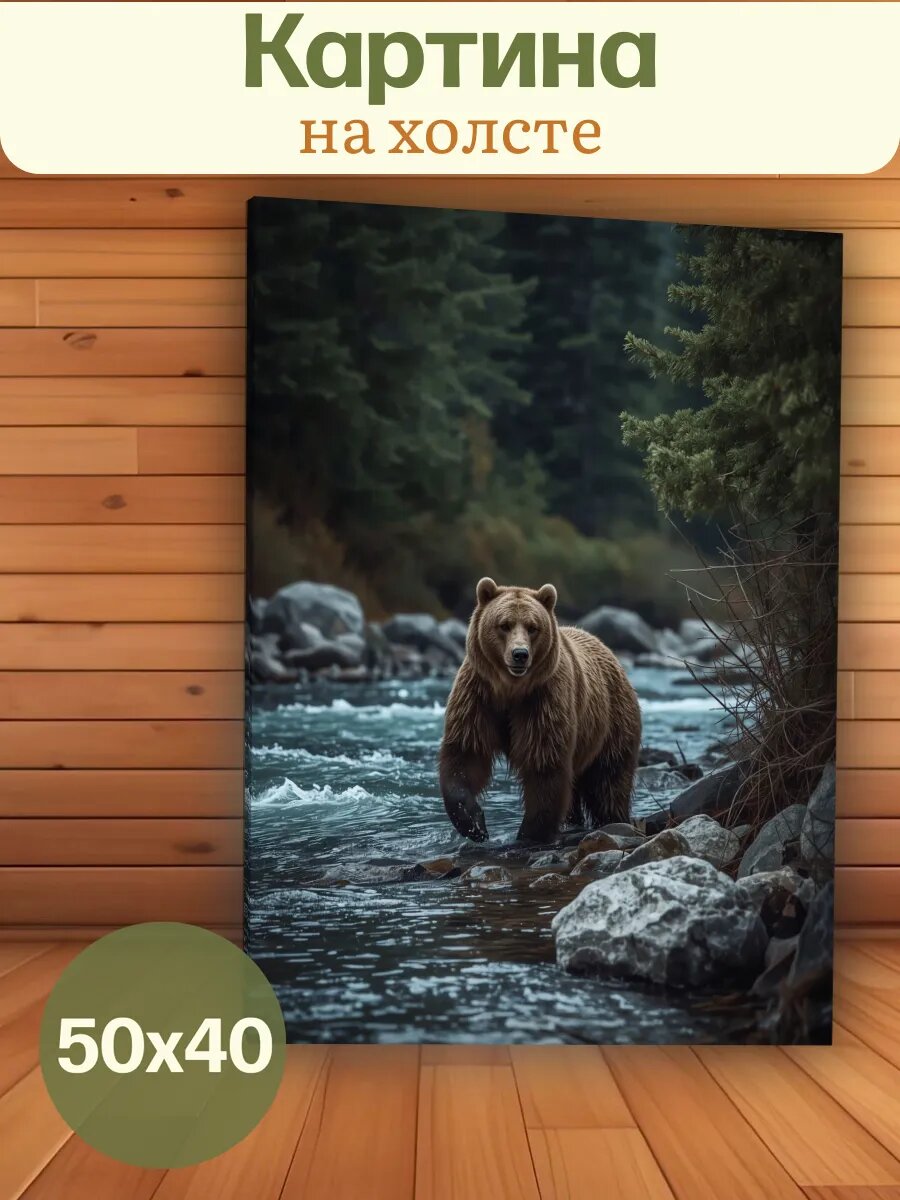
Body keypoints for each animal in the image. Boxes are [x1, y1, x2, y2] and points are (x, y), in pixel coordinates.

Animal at [438, 577, 641, 843]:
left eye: (533, 627)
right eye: (504, 624)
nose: (520, 654)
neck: (510, 690)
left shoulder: (544, 701)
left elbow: (545, 764)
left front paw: (530, 834)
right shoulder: (478, 696)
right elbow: (466, 753)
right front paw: (474, 825)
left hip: (612, 722)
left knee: (608, 782)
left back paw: (613, 819)